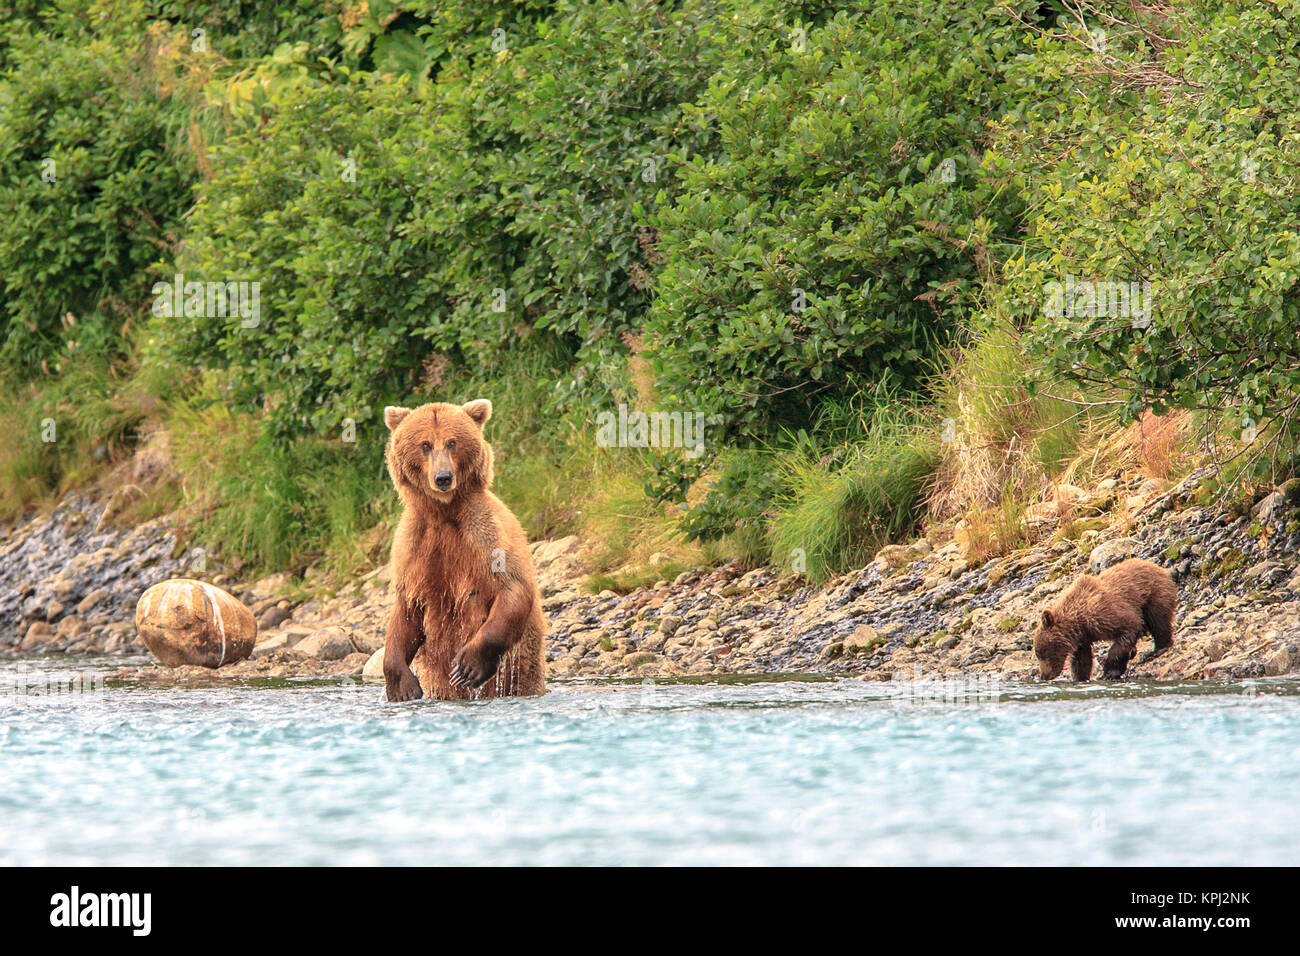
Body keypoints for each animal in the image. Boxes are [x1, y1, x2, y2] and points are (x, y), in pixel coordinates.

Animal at [381, 399, 546, 702]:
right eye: (425, 444)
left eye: (452, 442)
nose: (443, 477)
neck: (444, 512)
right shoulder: (414, 545)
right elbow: (407, 611)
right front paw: (403, 687)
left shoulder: (483, 532)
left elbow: (512, 587)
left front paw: (468, 666)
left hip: (522, 668)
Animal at [1033, 558, 1176, 681]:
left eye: (1039, 653)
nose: (1044, 676)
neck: (1080, 621)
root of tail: (1159, 568)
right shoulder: (1082, 638)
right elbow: (1081, 659)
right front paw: (1080, 677)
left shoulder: (1105, 614)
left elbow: (1129, 628)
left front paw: (1110, 671)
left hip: (1154, 594)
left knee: (1158, 620)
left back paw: (1156, 650)